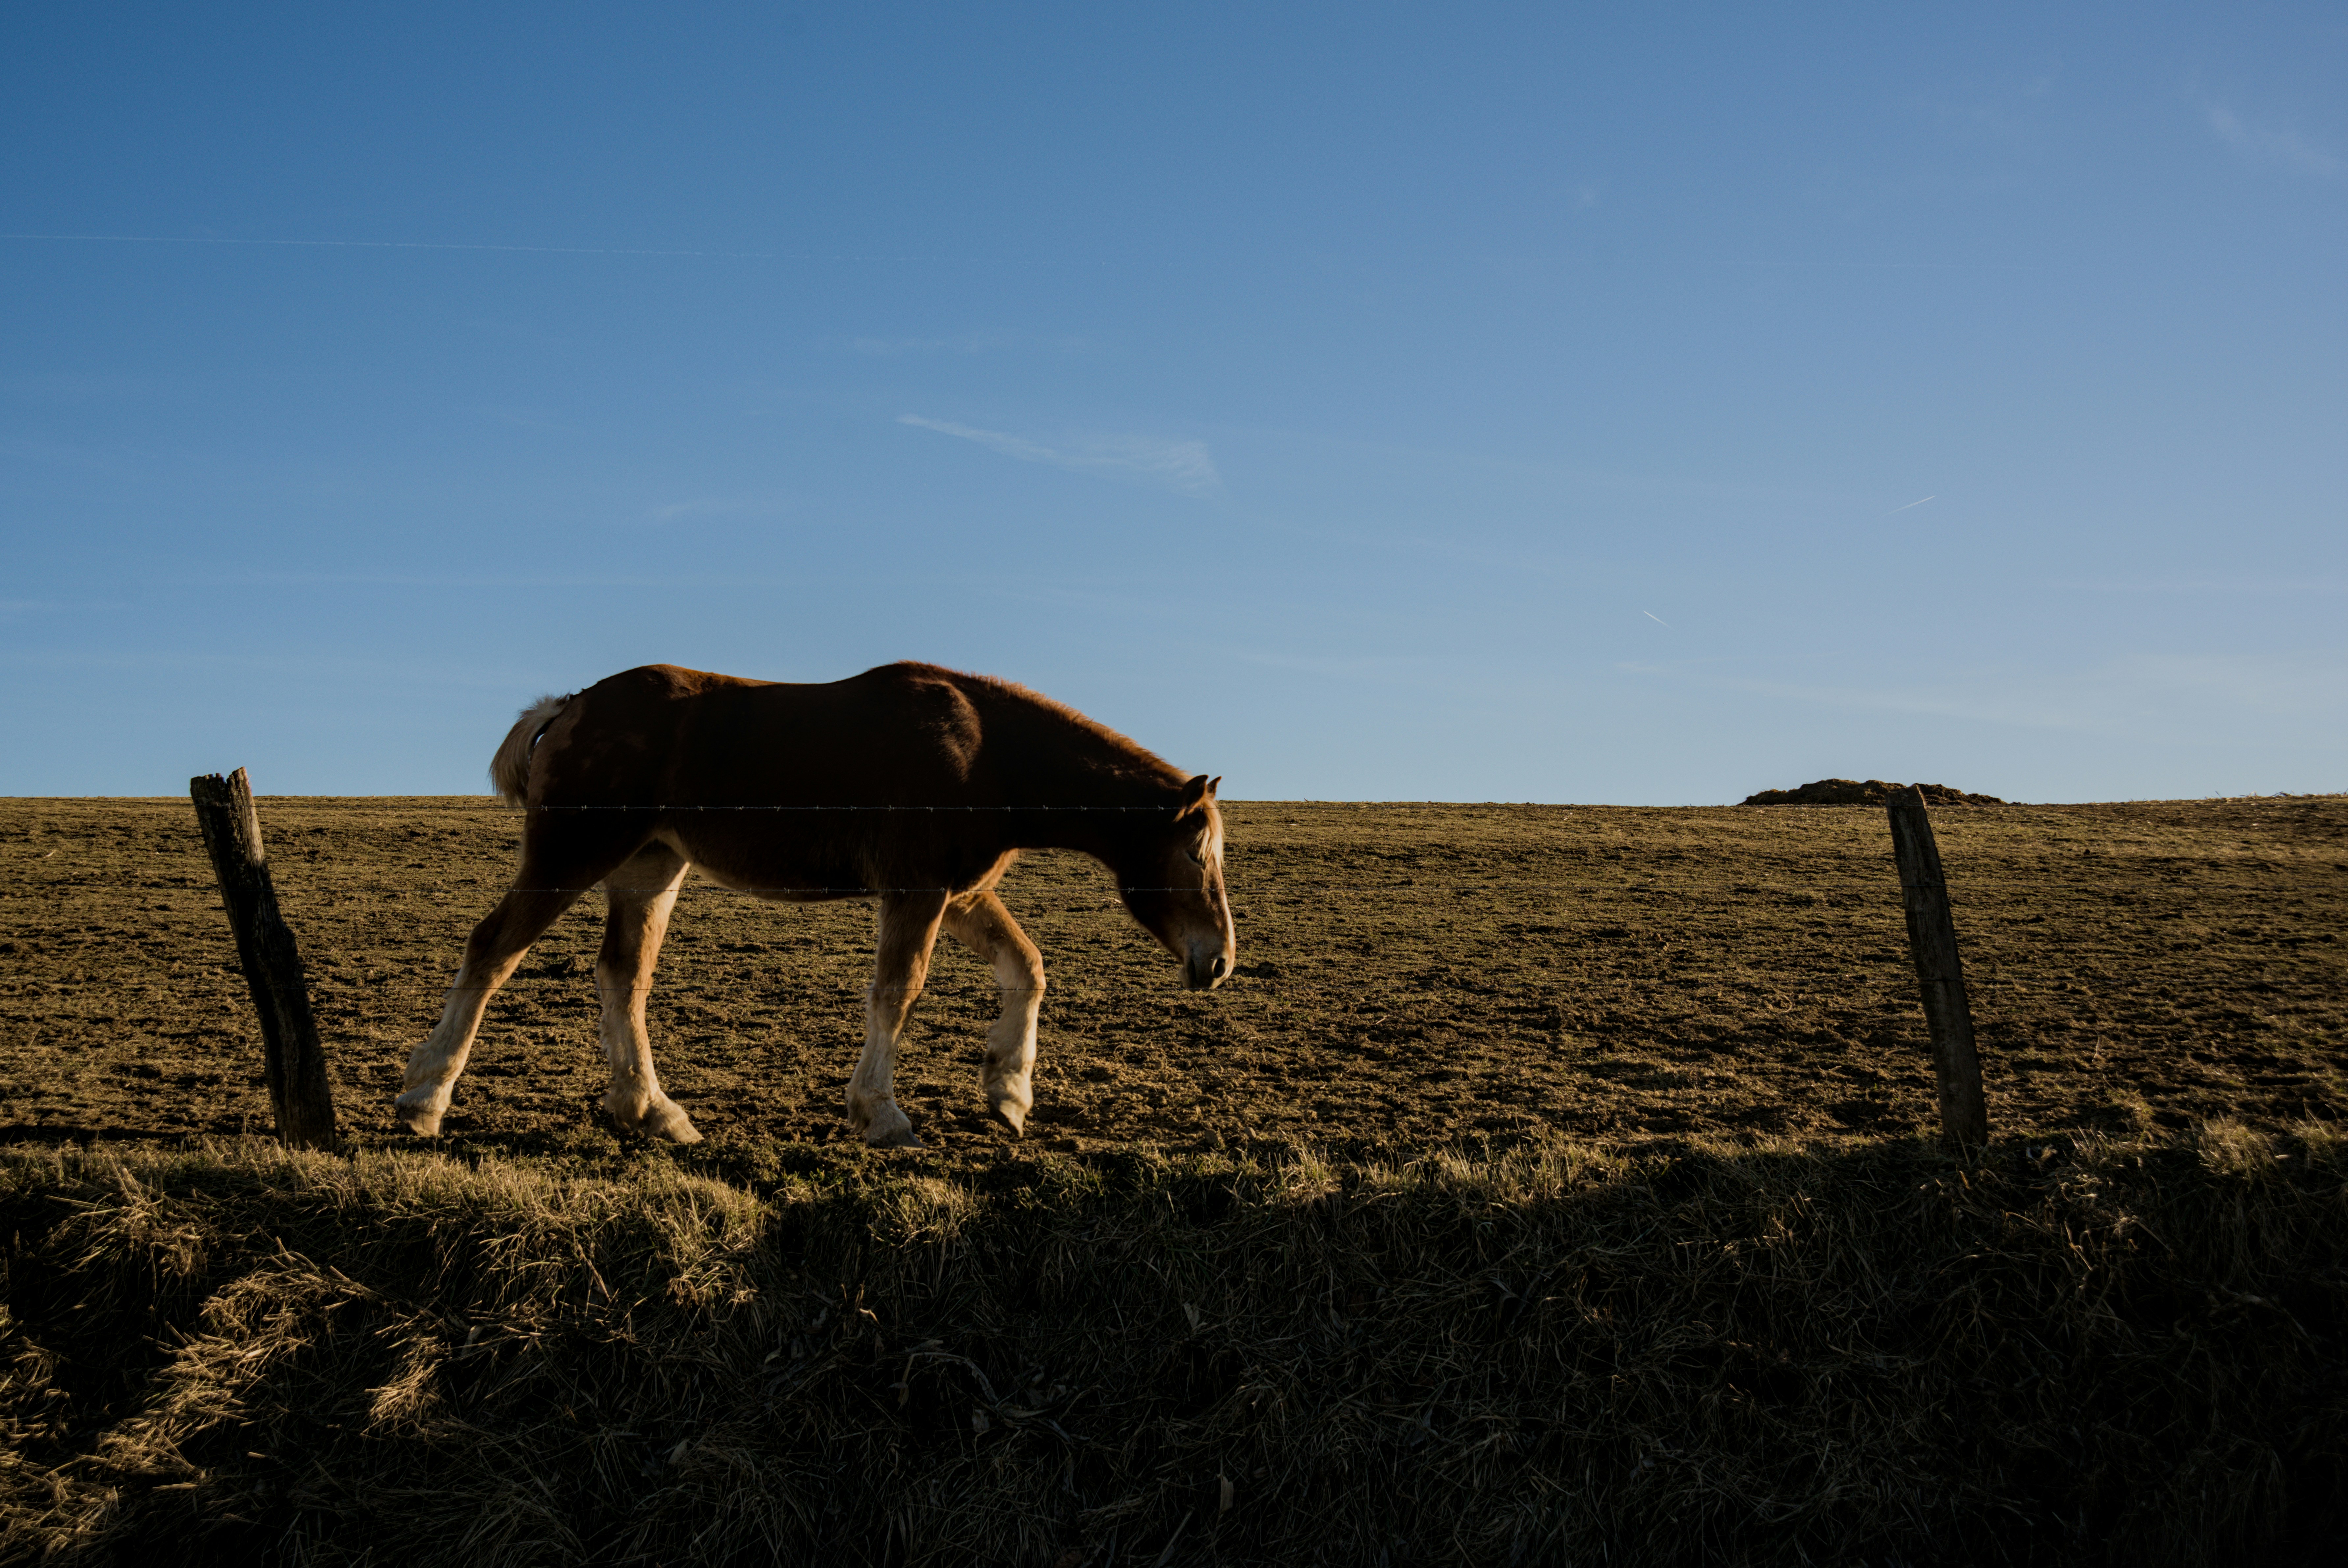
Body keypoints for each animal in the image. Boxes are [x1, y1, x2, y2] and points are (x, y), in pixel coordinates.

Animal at [395, 661, 1235, 1148]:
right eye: (1199, 851)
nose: (1221, 960)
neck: (986, 753)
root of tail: (570, 706)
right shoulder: (917, 891)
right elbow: (897, 992)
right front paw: (881, 1114)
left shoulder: (961, 893)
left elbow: (1026, 968)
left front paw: (1008, 1091)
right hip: (571, 855)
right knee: (493, 949)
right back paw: (425, 1097)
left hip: (648, 870)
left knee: (622, 978)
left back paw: (651, 1109)